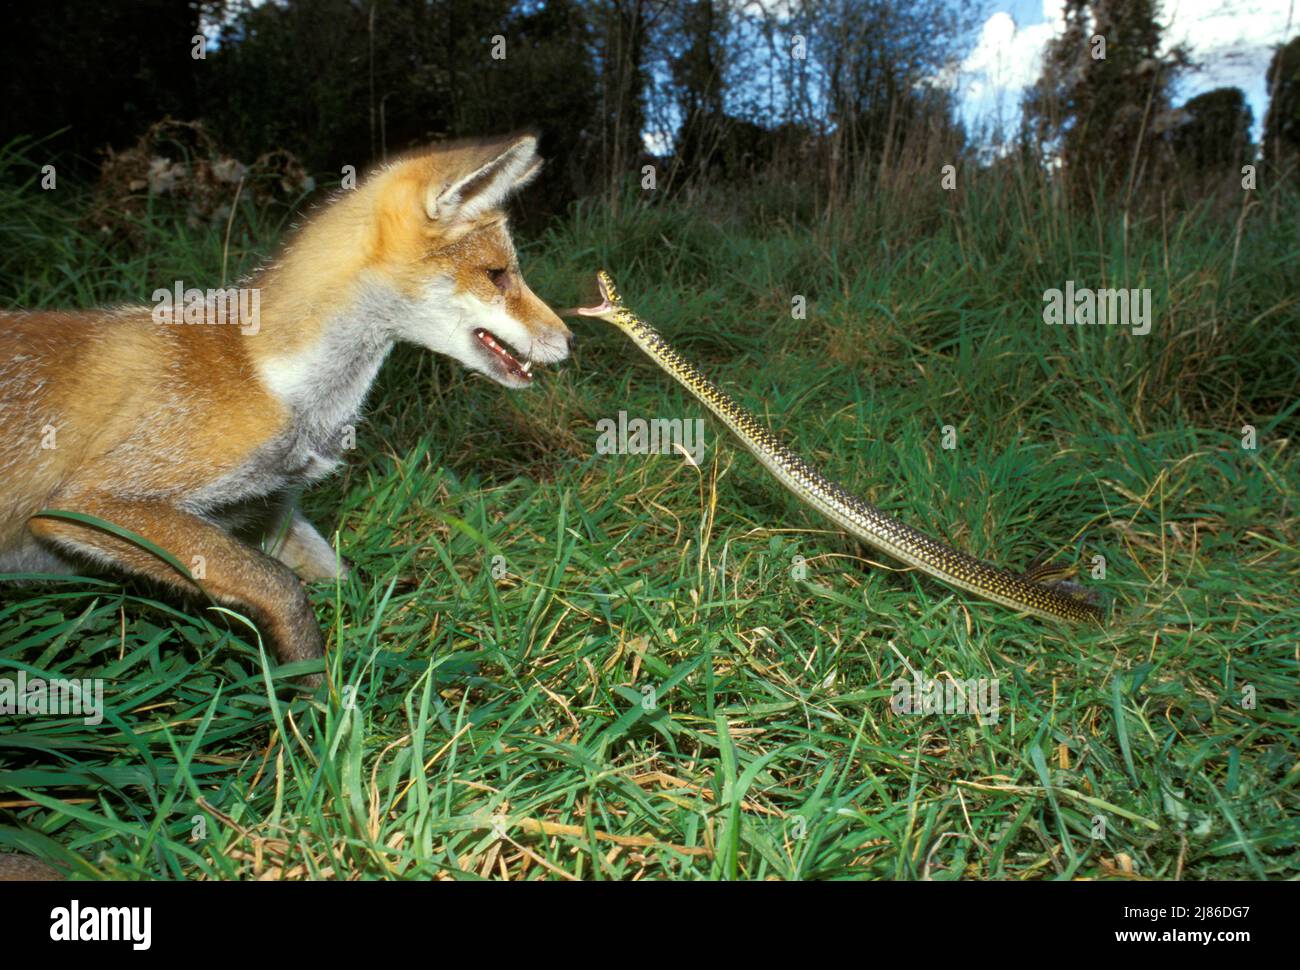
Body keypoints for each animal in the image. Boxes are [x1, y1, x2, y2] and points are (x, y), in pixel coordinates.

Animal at [0, 133, 572, 686]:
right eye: (497, 275)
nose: (569, 340)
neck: (276, 382)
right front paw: (310, 704)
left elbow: (346, 581)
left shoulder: (274, 511)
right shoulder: (91, 502)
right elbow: (283, 589)